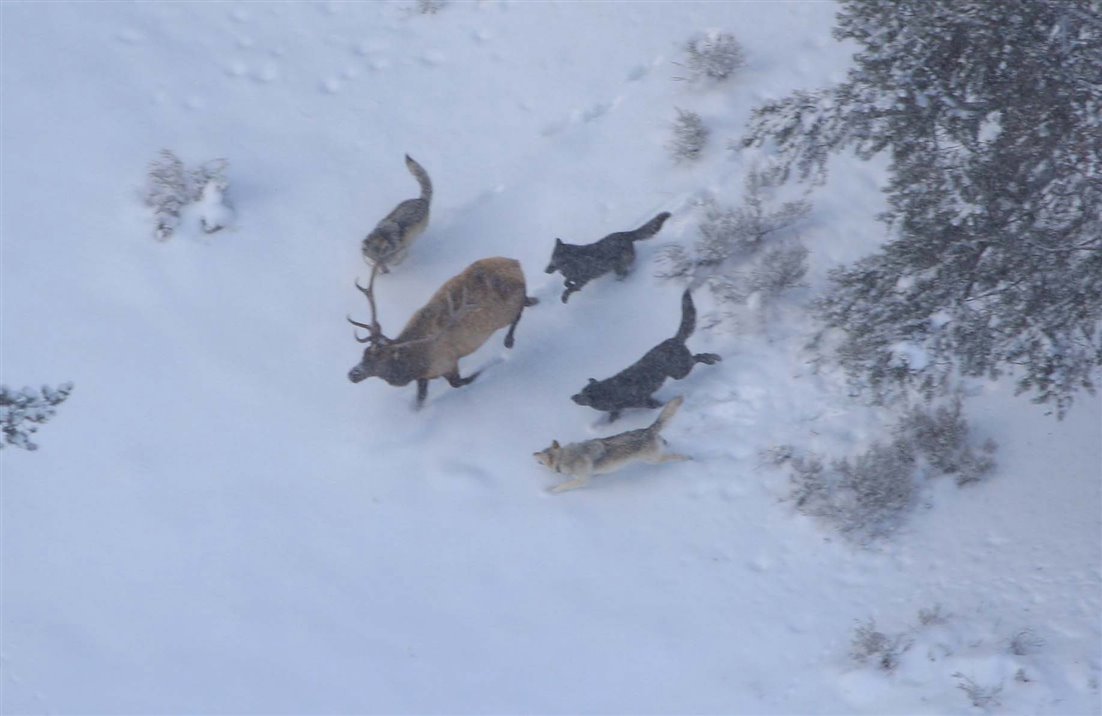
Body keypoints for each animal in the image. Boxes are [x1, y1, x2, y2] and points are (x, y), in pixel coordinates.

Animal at [534, 396, 689, 493]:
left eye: (540, 455)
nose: (533, 454)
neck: (565, 457)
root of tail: (648, 430)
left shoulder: (582, 481)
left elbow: (563, 486)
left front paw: (550, 491)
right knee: (665, 443)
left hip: (653, 460)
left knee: (675, 456)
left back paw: (688, 458)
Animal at [571, 289, 721, 421]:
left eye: (583, 394)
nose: (572, 397)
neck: (608, 392)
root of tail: (673, 339)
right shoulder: (621, 408)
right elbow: (613, 415)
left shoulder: (644, 401)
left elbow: (656, 405)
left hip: (680, 371)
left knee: (698, 356)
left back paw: (712, 358)